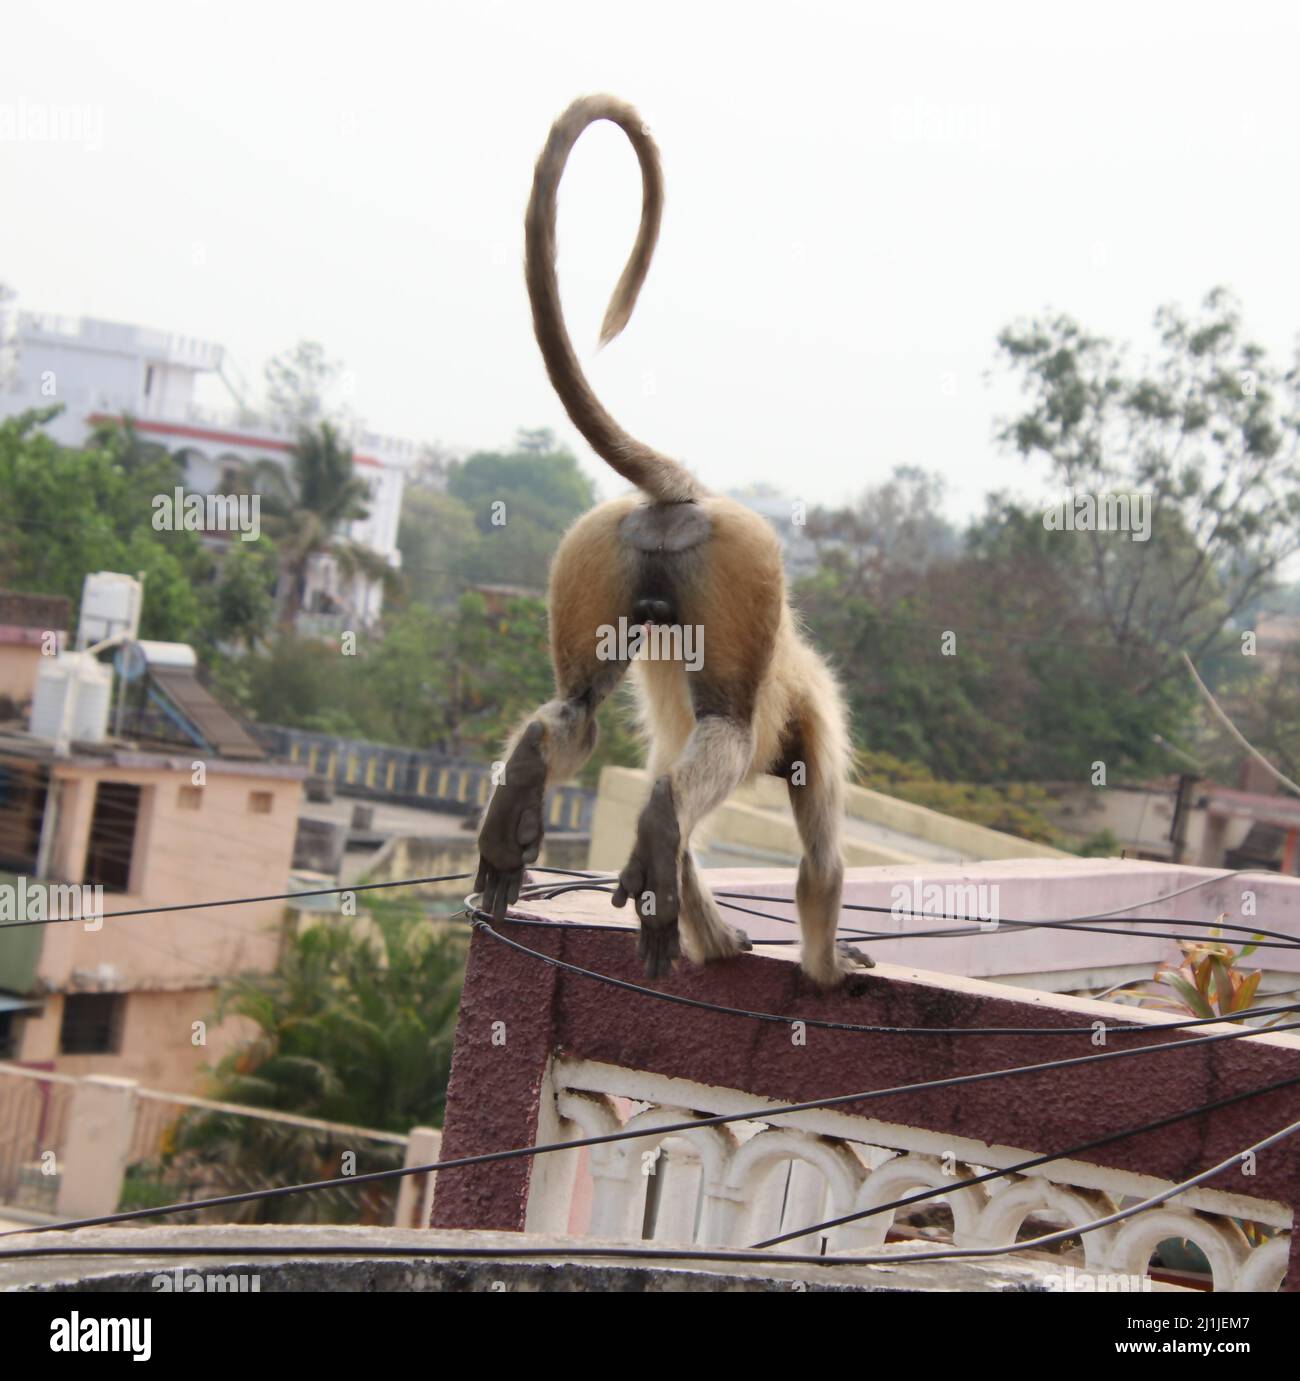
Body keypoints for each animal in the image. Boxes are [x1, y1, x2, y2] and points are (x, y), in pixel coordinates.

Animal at [474, 94, 870, 987]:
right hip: (745, 560)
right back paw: (657, 816)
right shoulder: (822, 731)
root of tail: (687, 492)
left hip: (597, 546)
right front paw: (827, 966)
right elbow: (821, 864)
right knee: (726, 724)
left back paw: (527, 774)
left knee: (579, 708)